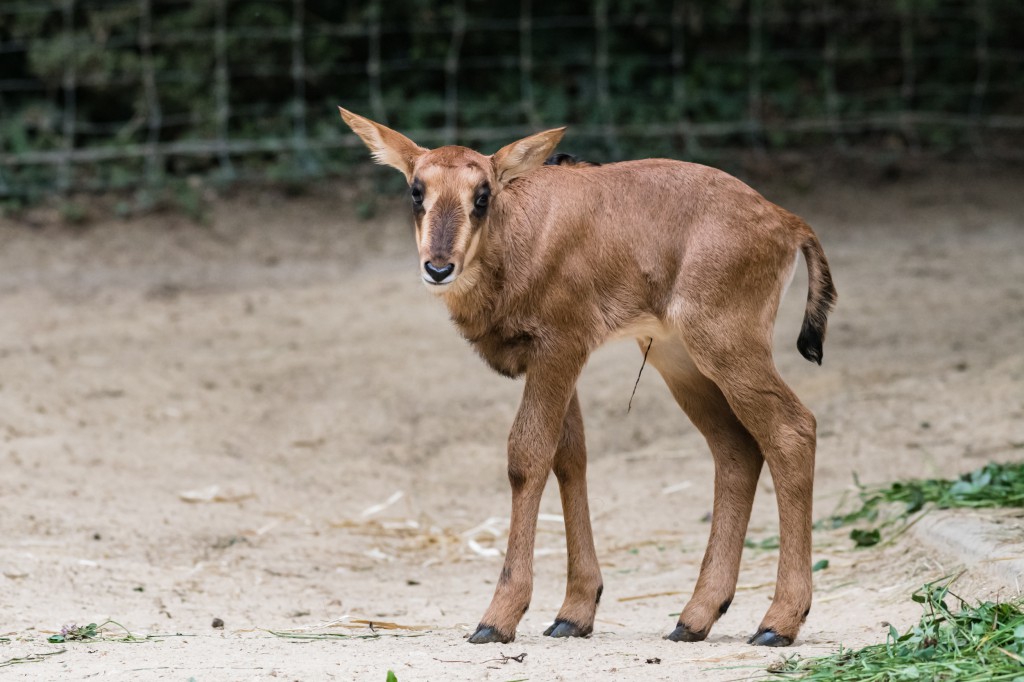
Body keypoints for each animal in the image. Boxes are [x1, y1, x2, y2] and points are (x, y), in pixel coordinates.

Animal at [339, 108, 837, 647]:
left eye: (482, 195)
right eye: (417, 190)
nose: (438, 267)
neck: (522, 233)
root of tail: (787, 223)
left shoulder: (559, 348)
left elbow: (527, 456)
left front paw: (499, 617)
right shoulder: (559, 362)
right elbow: (569, 458)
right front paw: (575, 612)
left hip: (728, 346)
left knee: (791, 430)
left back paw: (778, 622)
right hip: (680, 360)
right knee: (736, 448)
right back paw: (695, 617)